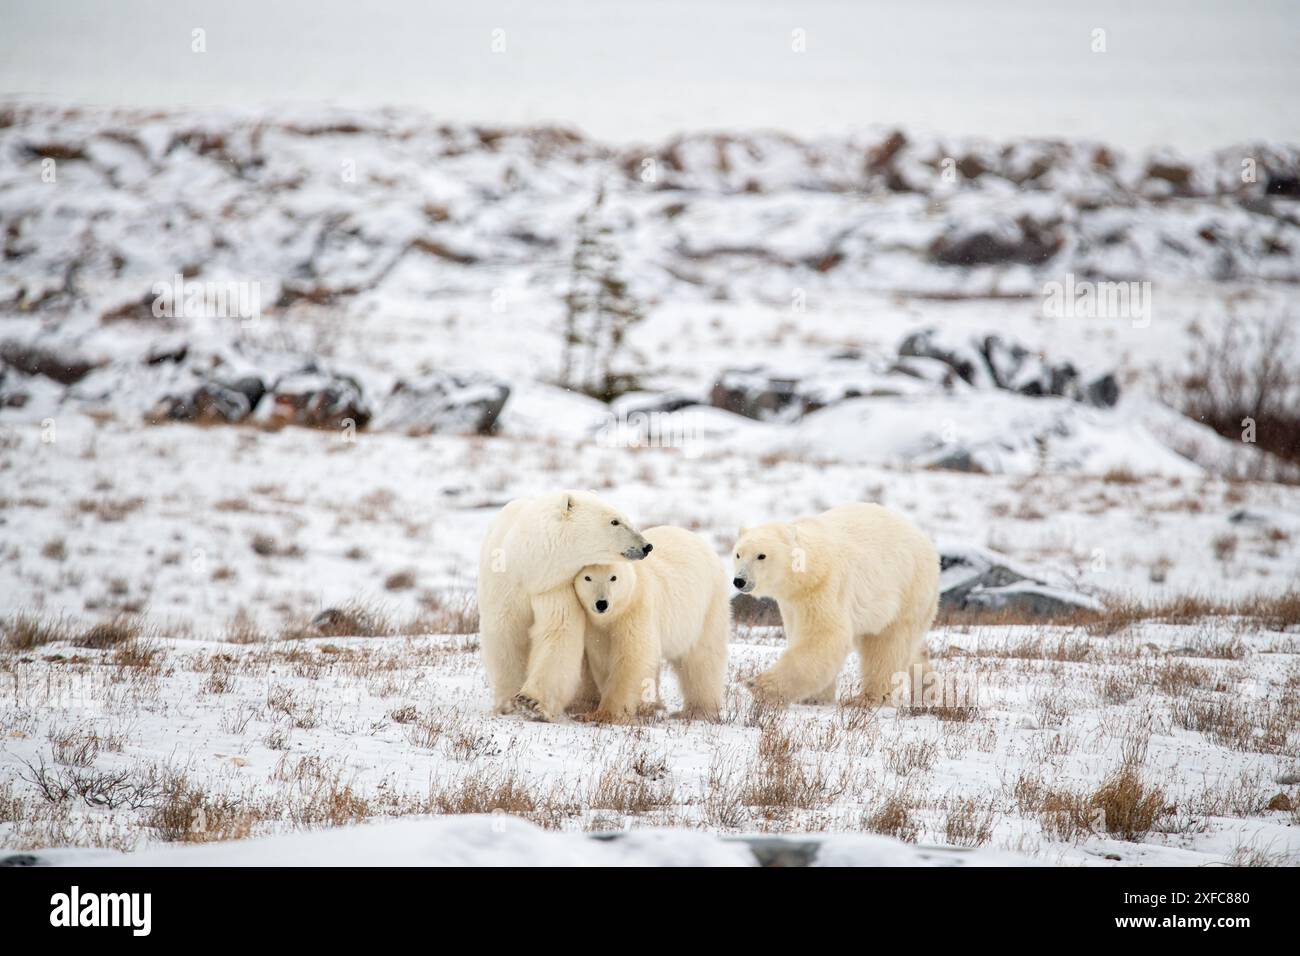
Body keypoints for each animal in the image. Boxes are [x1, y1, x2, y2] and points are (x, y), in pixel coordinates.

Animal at [477, 490, 653, 722]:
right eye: (615, 521)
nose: (647, 546)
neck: (528, 567)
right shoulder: (506, 585)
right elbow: (505, 635)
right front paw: (507, 703)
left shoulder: (555, 587)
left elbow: (558, 631)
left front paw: (532, 702)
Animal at [572, 525, 730, 722]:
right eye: (587, 578)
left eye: (613, 577)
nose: (602, 603)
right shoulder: (594, 626)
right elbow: (601, 658)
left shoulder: (637, 608)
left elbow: (633, 656)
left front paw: (606, 714)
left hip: (705, 608)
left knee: (701, 658)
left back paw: (698, 711)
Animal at [731, 502, 938, 706]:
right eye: (738, 554)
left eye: (761, 555)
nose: (739, 580)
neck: (809, 571)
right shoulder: (791, 604)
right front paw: (815, 697)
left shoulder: (826, 587)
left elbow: (825, 636)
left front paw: (758, 685)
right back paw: (927, 685)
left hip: (908, 588)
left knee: (888, 645)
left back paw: (868, 698)